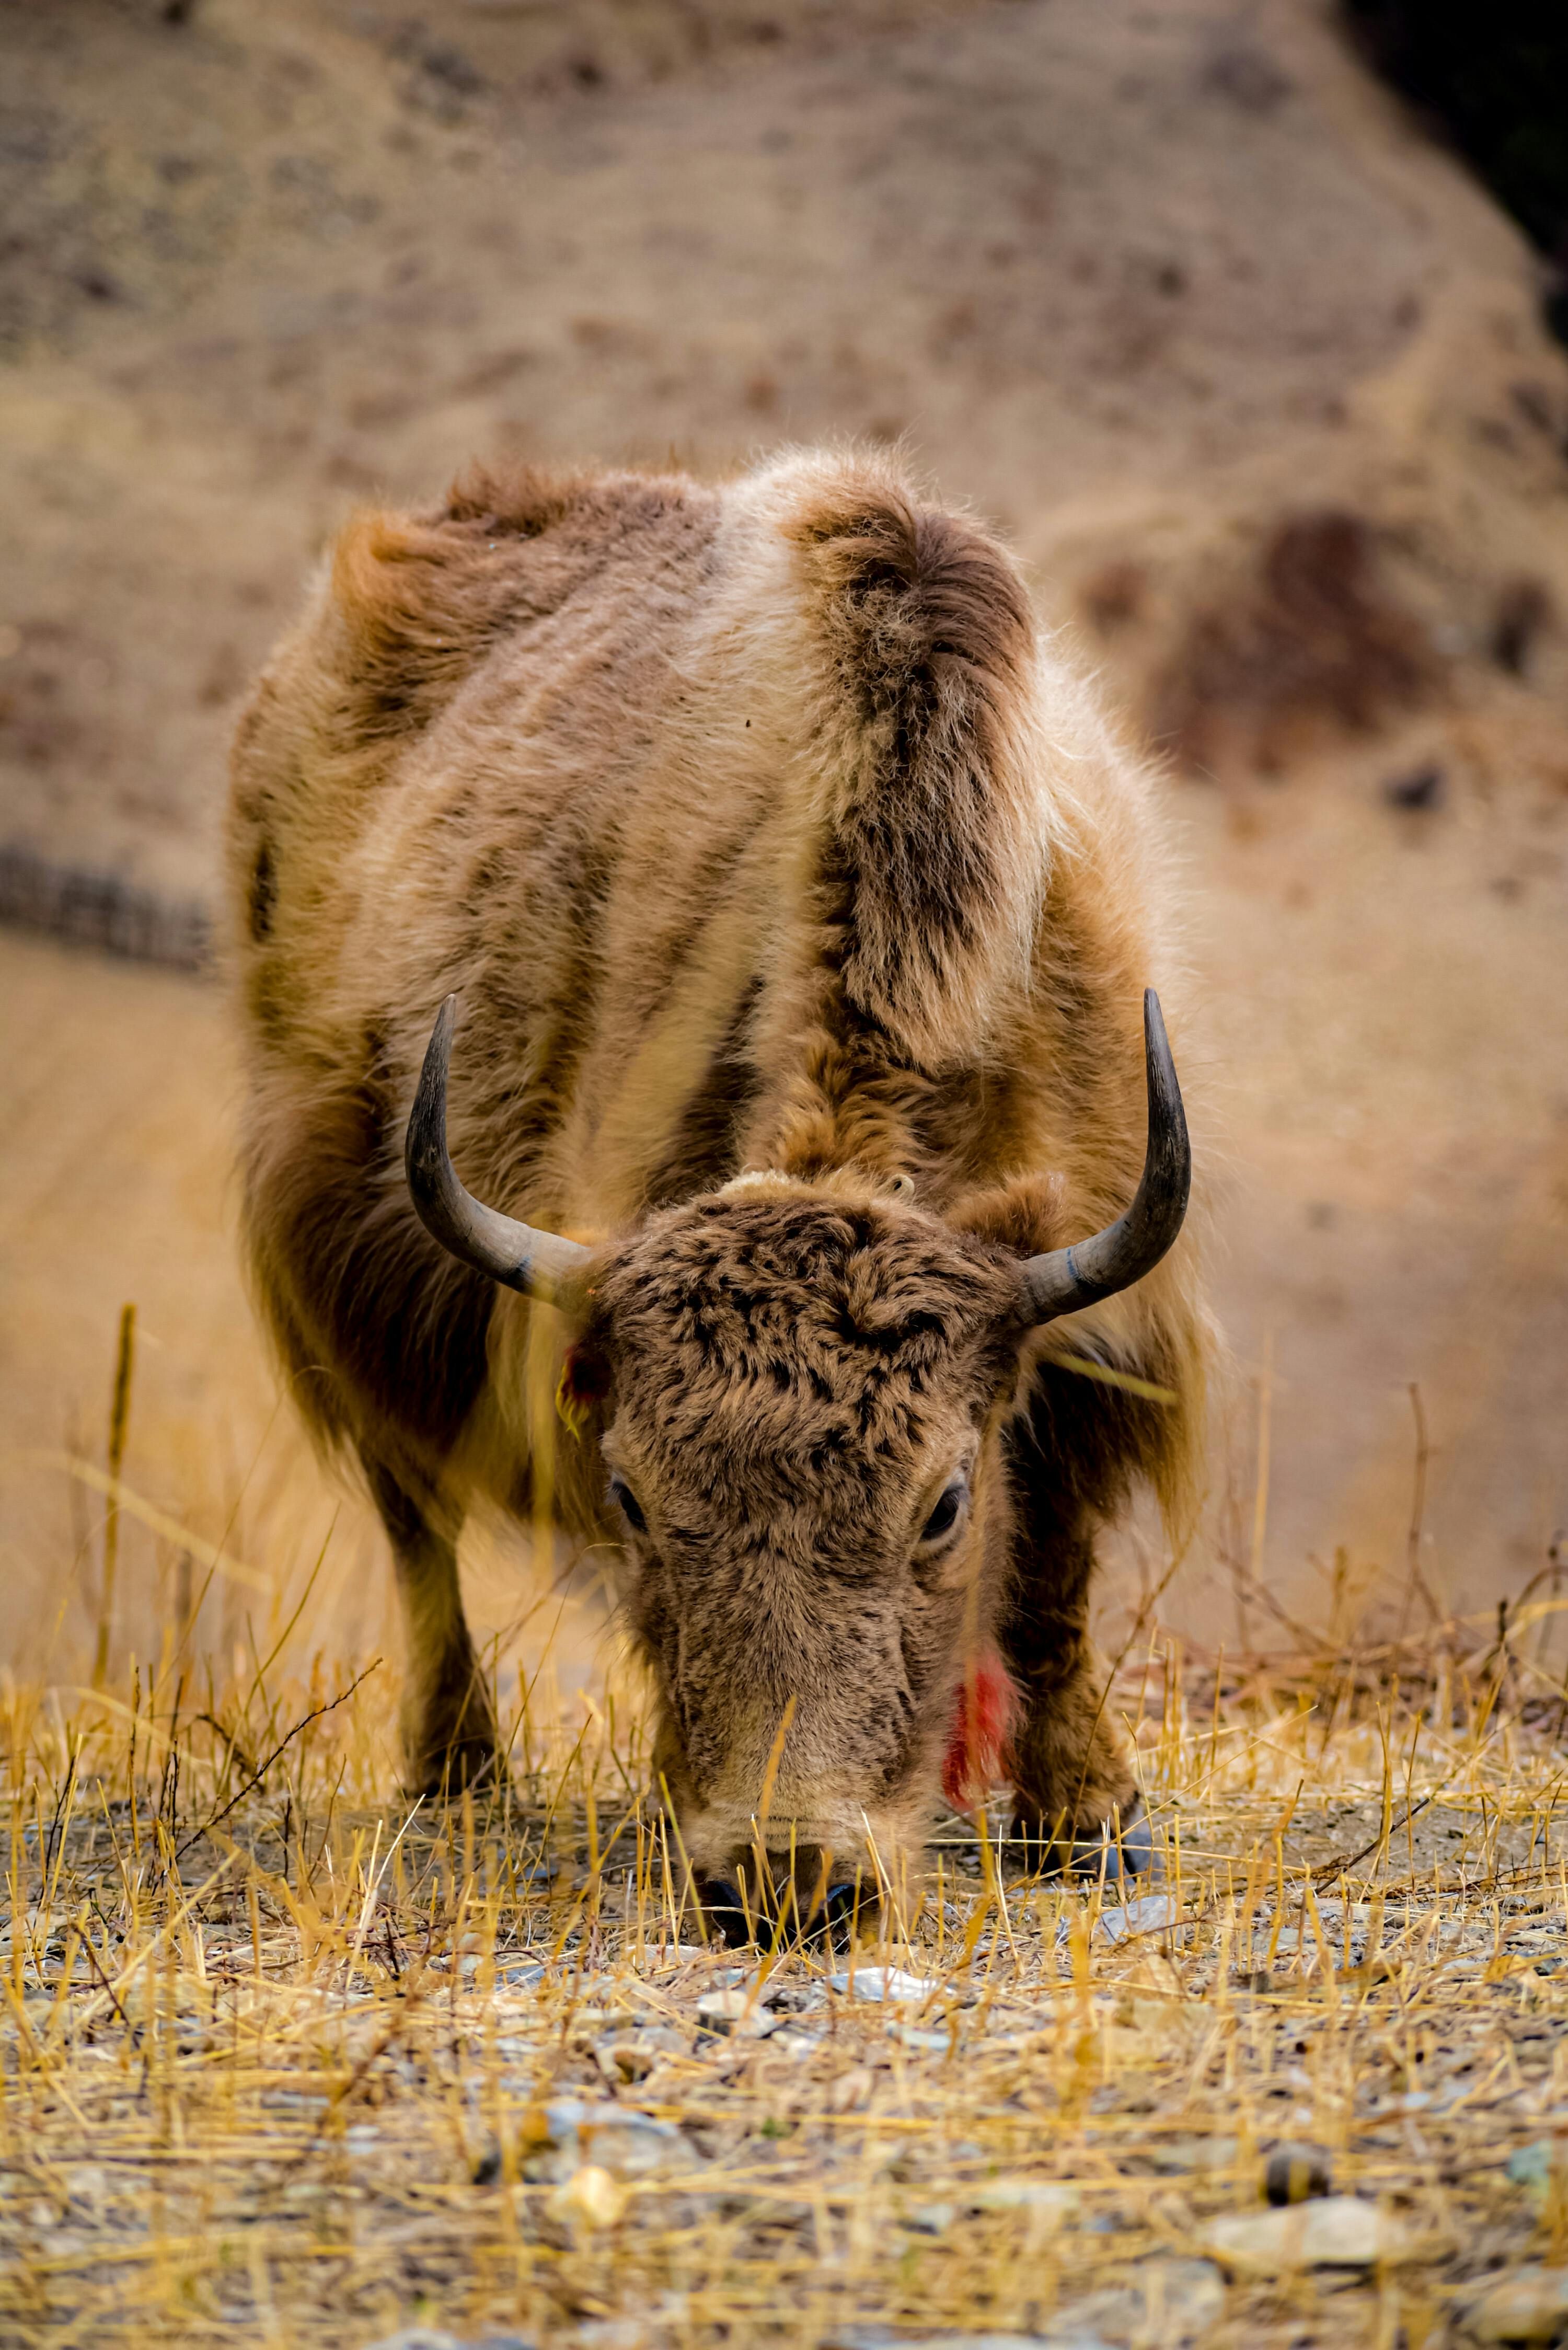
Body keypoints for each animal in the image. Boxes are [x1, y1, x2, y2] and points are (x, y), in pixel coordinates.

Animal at [226, 446, 1208, 1941]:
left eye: (941, 1503)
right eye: (631, 1497)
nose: (785, 1881)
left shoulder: (1098, 1314)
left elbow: (1051, 1570)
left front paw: (1091, 1821)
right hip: (336, 1257)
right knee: (413, 1523)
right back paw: (458, 1773)